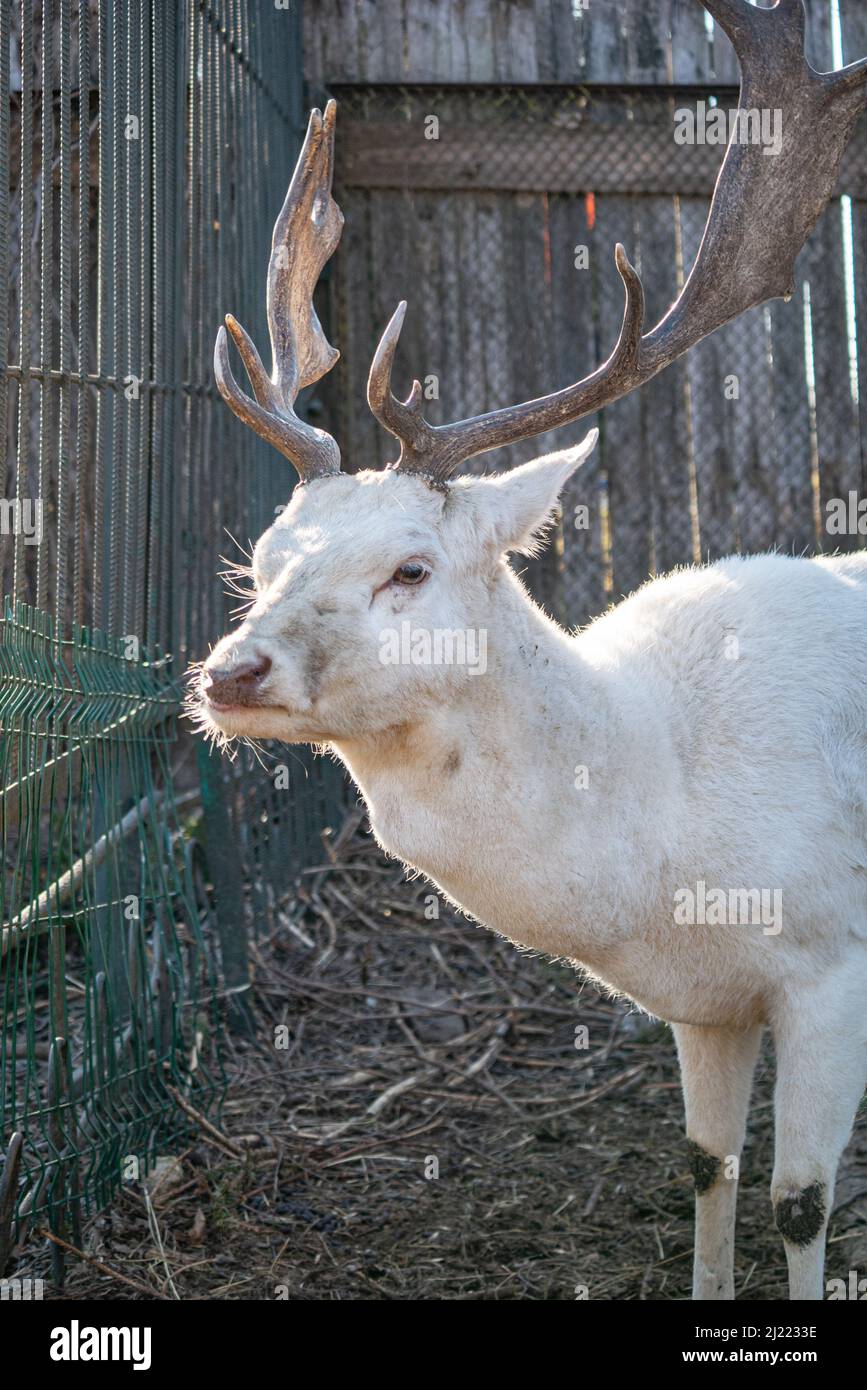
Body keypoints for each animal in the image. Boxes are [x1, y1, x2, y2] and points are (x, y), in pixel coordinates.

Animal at [193, 0, 867, 1300]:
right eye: (267, 554)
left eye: (410, 567)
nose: (229, 674)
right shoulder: (708, 1004)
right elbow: (707, 1170)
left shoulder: (831, 963)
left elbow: (801, 1202)